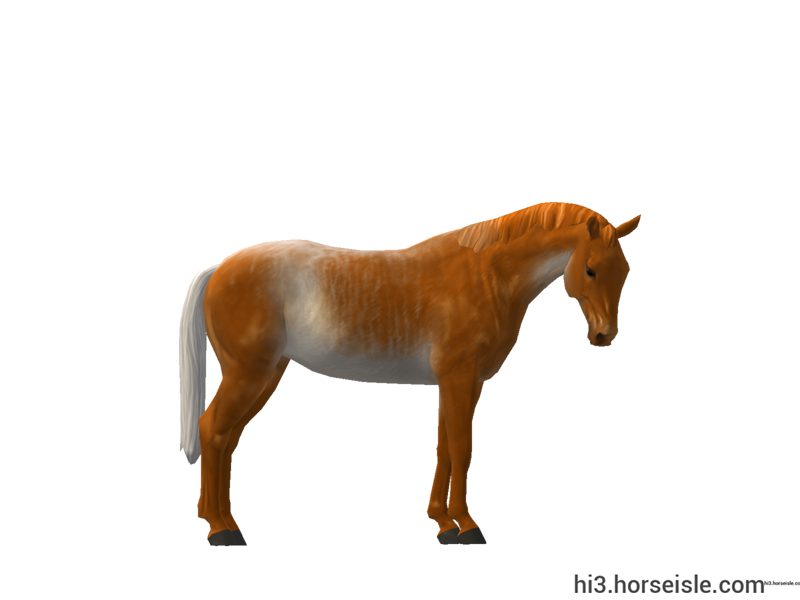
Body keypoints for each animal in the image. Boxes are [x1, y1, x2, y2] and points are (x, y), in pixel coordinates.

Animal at [179, 202, 639, 543]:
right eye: (591, 268)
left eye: (623, 270)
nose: (604, 334)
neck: (485, 275)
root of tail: (218, 270)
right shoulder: (457, 375)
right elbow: (462, 446)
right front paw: (465, 523)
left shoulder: (455, 381)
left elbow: (445, 447)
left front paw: (441, 519)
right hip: (245, 373)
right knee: (212, 431)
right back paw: (218, 527)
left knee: (218, 436)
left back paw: (218, 519)